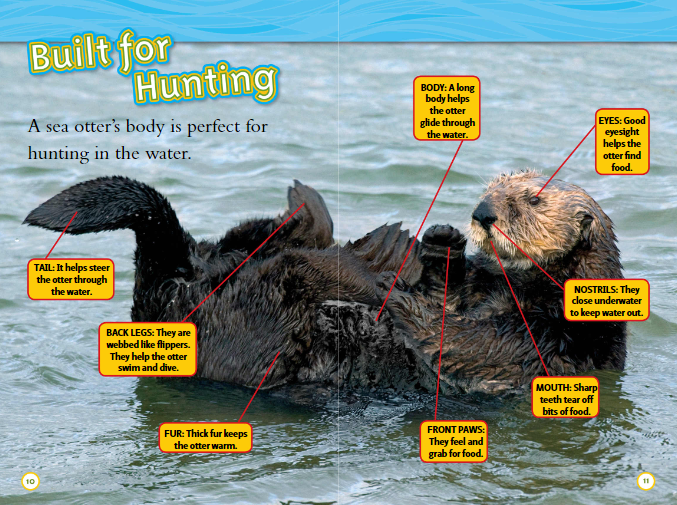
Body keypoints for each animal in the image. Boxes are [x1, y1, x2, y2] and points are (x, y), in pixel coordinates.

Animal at [24, 172, 625, 395]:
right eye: (495, 185)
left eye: (533, 199)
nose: (481, 213)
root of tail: (164, 301)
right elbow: (455, 292)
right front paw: (442, 242)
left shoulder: (547, 342)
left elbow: (463, 342)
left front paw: (404, 301)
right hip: (230, 266)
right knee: (259, 240)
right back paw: (335, 227)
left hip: (255, 327)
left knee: (292, 271)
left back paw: (368, 277)